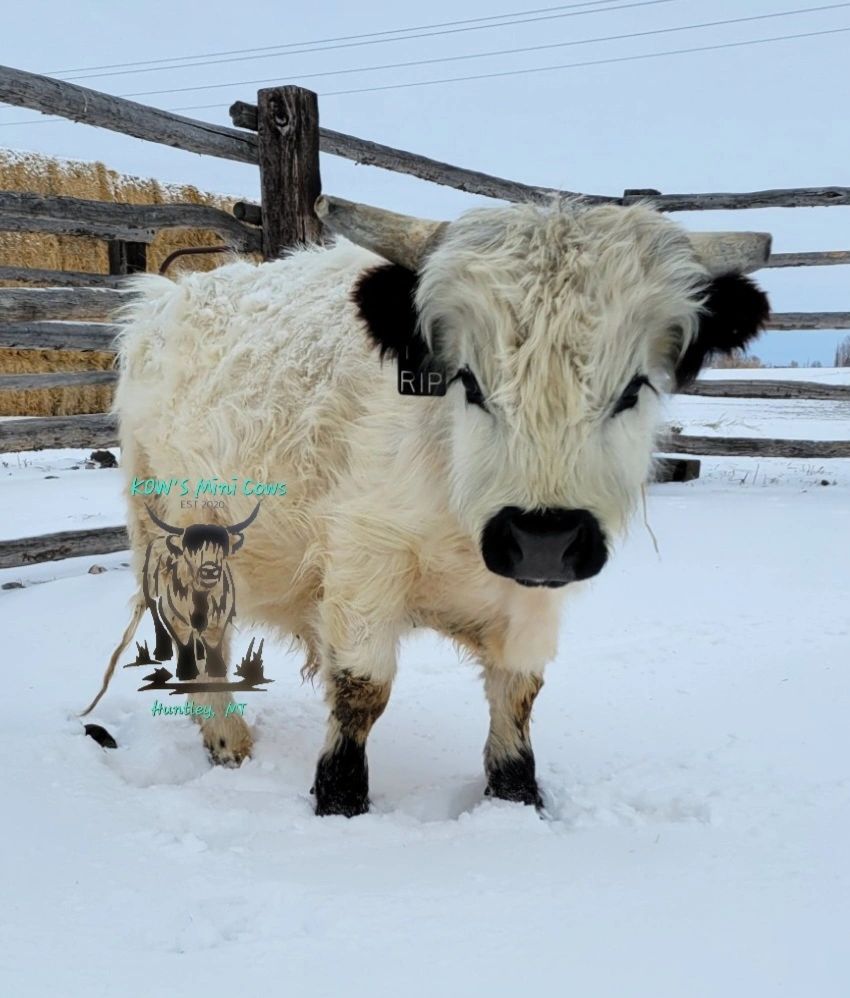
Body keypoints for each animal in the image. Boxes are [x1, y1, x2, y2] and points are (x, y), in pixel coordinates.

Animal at [84, 196, 770, 815]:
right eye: (467, 381)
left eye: (633, 389)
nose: (541, 538)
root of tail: (165, 297)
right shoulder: (365, 561)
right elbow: (363, 689)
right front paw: (340, 800)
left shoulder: (535, 595)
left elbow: (518, 693)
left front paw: (517, 800)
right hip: (168, 533)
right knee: (202, 637)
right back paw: (227, 739)